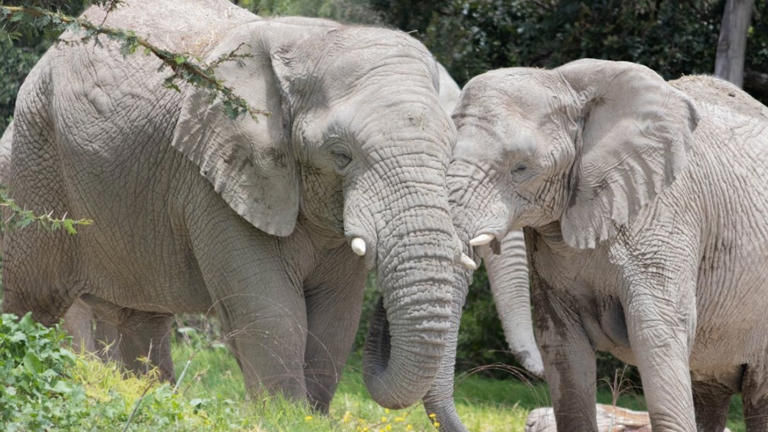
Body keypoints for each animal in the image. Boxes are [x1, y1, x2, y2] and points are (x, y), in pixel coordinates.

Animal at [3, 0, 481, 412]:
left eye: (449, 153)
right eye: (341, 155)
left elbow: (335, 318)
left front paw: (311, 415)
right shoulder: (215, 178)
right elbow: (272, 311)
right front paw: (284, 416)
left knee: (140, 316)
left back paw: (152, 397)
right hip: (33, 158)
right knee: (28, 295)